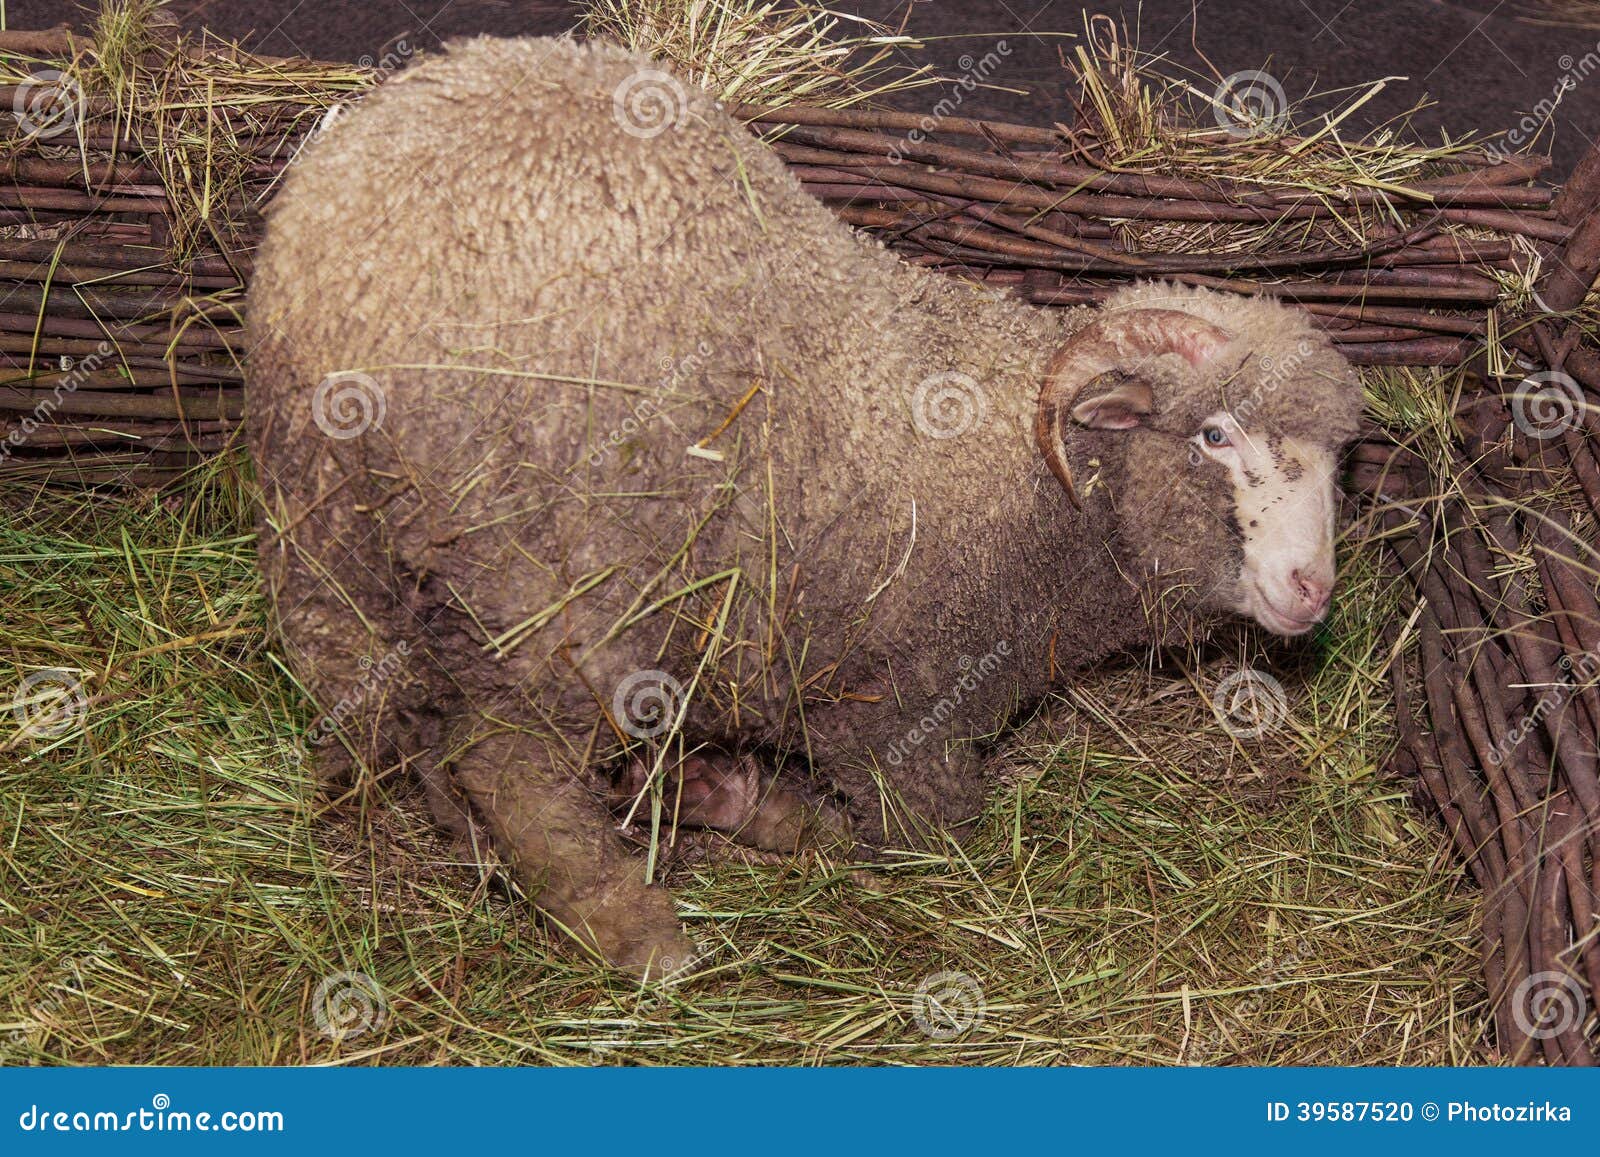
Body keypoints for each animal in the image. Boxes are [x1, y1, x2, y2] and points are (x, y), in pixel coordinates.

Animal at [245, 35, 1366, 977]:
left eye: (1336, 460)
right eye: (1213, 435)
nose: (1312, 590)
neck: (1036, 490)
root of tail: (327, 256)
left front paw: (727, 795)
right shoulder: (901, 708)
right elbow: (920, 844)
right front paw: (775, 821)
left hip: (332, 546)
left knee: (401, 719)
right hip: (557, 581)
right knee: (506, 762)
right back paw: (640, 931)